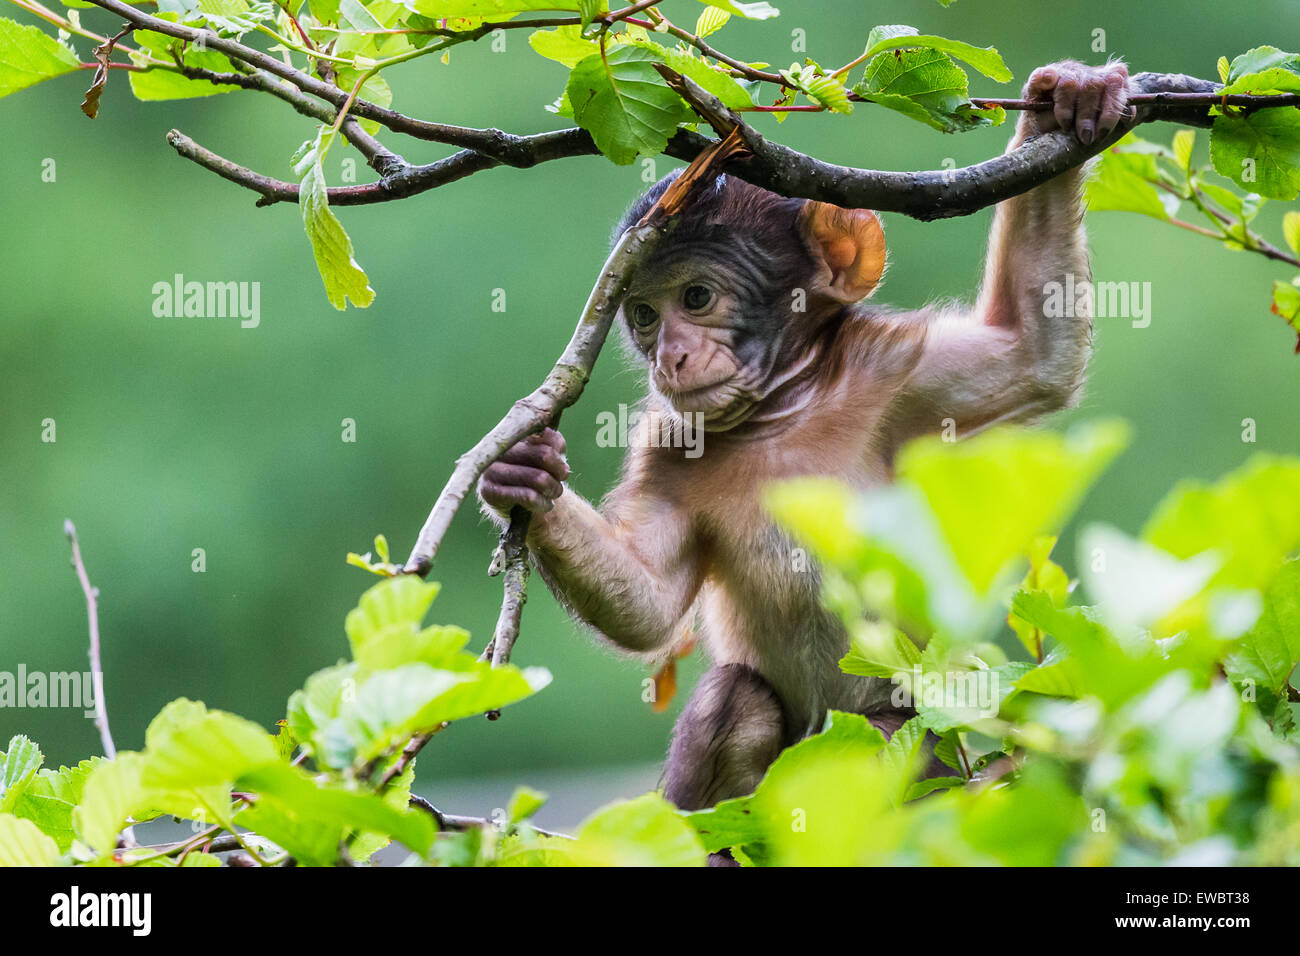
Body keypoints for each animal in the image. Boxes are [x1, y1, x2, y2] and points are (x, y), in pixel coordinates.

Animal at [479, 62, 1131, 816]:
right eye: (642, 314)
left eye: (696, 298)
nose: (669, 356)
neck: (781, 411)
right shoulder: (665, 444)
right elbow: (650, 606)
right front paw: (522, 479)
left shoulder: (897, 375)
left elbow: (1034, 354)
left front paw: (1068, 105)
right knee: (736, 697)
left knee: (890, 733)